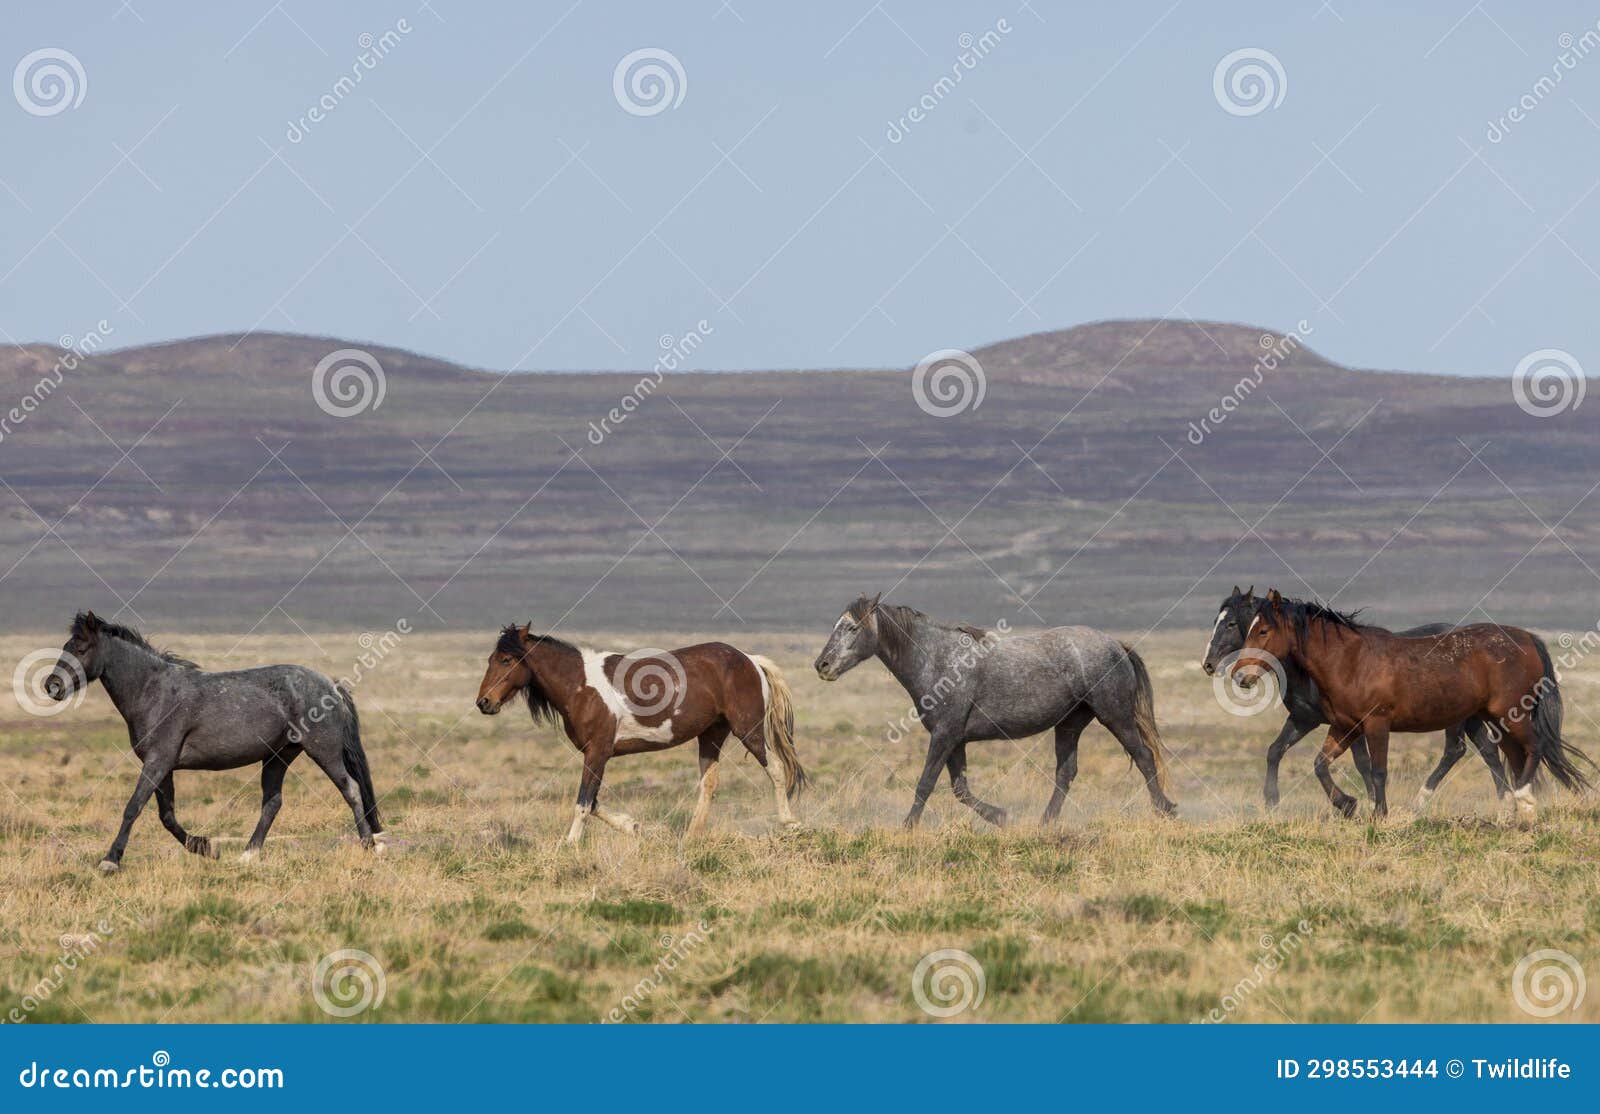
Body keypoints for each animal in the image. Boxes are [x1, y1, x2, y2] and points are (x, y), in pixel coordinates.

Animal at [42, 611, 384, 872]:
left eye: (82, 648)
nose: (52, 685)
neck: (154, 691)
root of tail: (332, 685)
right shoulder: (163, 766)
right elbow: (166, 816)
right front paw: (206, 847)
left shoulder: (157, 762)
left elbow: (133, 807)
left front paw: (110, 861)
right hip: (278, 757)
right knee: (272, 802)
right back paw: (248, 855)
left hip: (323, 752)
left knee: (351, 789)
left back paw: (369, 845)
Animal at [475, 625, 805, 843]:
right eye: (490, 659)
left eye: (506, 660)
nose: (484, 702)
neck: (581, 685)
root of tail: (750, 660)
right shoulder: (595, 755)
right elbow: (594, 801)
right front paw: (634, 827)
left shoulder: (598, 752)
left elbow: (583, 802)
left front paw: (569, 845)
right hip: (711, 734)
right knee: (709, 784)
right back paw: (691, 836)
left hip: (748, 730)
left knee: (776, 768)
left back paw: (790, 822)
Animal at [813, 594, 1176, 828]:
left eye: (852, 628)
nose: (822, 665)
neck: (937, 658)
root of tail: (1117, 644)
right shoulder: (955, 740)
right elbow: (960, 789)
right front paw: (1001, 817)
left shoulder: (944, 735)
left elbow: (926, 783)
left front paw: (907, 828)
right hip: (1069, 725)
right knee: (1066, 772)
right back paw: (1044, 824)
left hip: (1115, 717)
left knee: (1144, 757)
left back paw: (1166, 810)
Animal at [1201, 585, 1508, 811]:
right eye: (1216, 621)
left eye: (1231, 623)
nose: (1208, 664)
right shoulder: (1304, 719)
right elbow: (1275, 750)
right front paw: (1272, 800)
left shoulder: (1353, 723)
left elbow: (1362, 763)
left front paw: (1365, 803)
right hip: (1470, 716)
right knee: (1487, 750)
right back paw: (1505, 801)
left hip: (1454, 716)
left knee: (1455, 749)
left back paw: (1421, 800)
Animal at [1231, 590, 1594, 820]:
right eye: (1249, 628)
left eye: (1263, 631)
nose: (1240, 676)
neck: (1350, 661)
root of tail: (1527, 638)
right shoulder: (1345, 726)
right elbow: (1321, 765)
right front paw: (1348, 805)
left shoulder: (1377, 723)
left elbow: (1378, 770)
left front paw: (1379, 814)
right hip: (1494, 718)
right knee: (1514, 755)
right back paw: (1516, 810)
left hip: (1511, 714)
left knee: (1535, 746)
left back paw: (1524, 801)